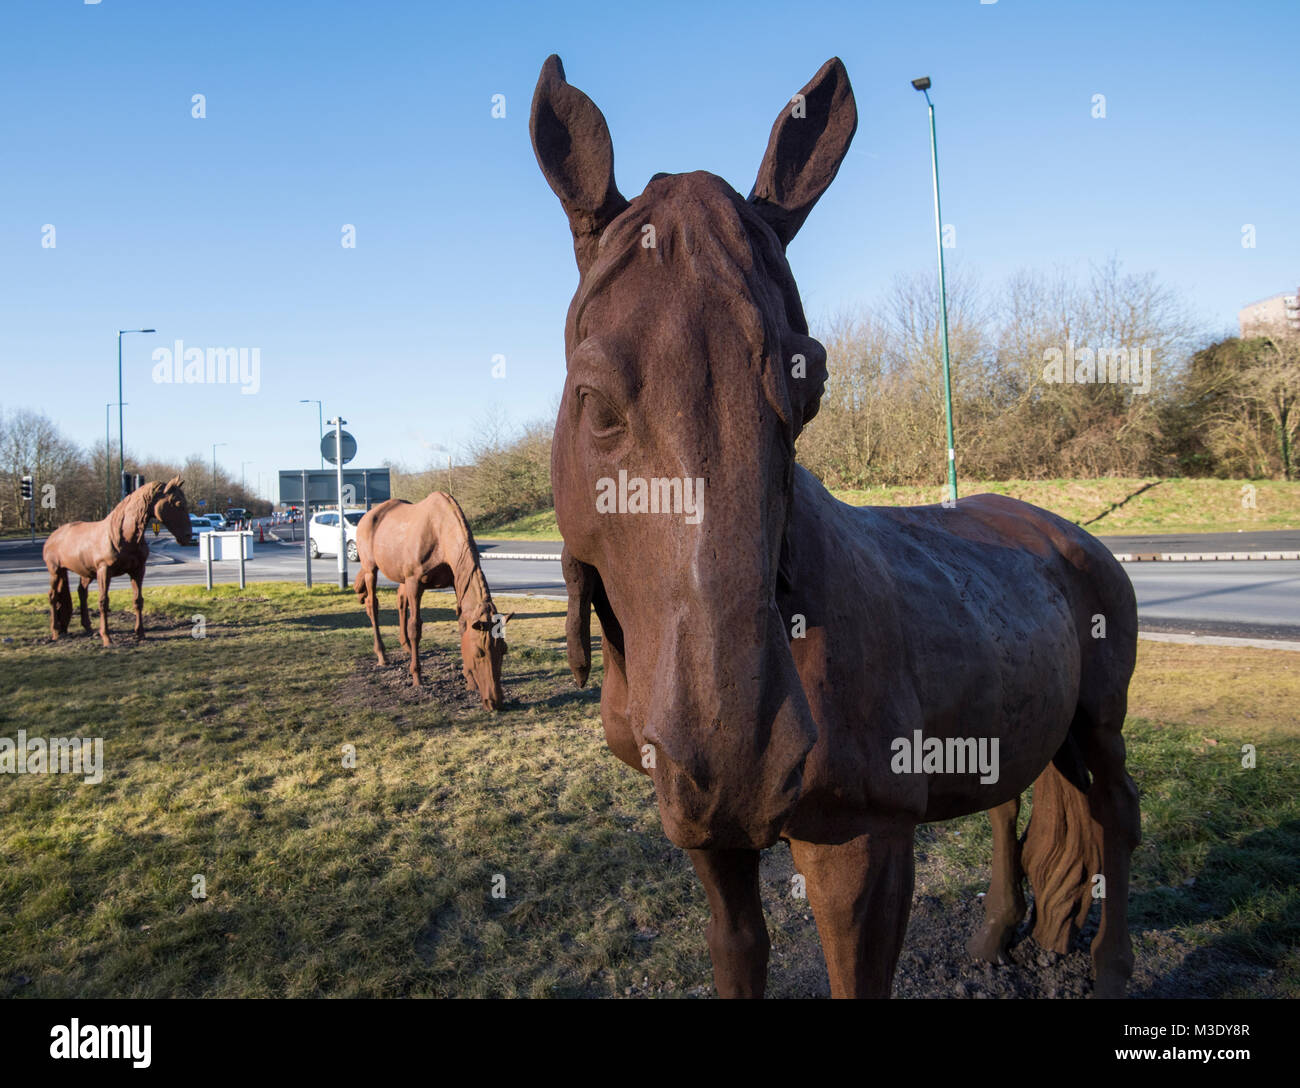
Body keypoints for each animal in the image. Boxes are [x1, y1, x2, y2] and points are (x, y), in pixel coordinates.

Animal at [44, 476, 193, 646]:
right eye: (177, 503)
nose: (188, 536)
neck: (123, 536)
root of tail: (53, 536)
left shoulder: (138, 570)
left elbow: (138, 600)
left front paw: (140, 633)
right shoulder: (104, 571)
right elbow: (103, 602)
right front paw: (106, 637)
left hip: (86, 573)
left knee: (82, 593)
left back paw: (88, 627)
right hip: (56, 572)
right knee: (53, 596)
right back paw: (56, 631)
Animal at [355, 491, 511, 710]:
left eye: (504, 650)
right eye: (479, 652)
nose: (495, 702)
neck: (441, 534)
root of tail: (366, 517)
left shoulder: (455, 582)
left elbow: (462, 624)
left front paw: (469, 680)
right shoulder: (414, 582)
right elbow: (415, 627)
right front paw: (417, 676)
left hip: (400, 577)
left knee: (400, 602)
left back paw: (405, 646)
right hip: (371, 568)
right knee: (372, 605)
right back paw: (382, 655)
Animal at [532, 56, 1141, 999]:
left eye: (810, 382)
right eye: (593, 401)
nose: (740, 757)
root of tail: (1074, 538)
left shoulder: (864, 840)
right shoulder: (704, 829)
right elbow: (738, 949)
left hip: (1100, 722)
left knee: (1115, 815)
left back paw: (1110, 968)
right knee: (1011, 800)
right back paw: (994, 934)